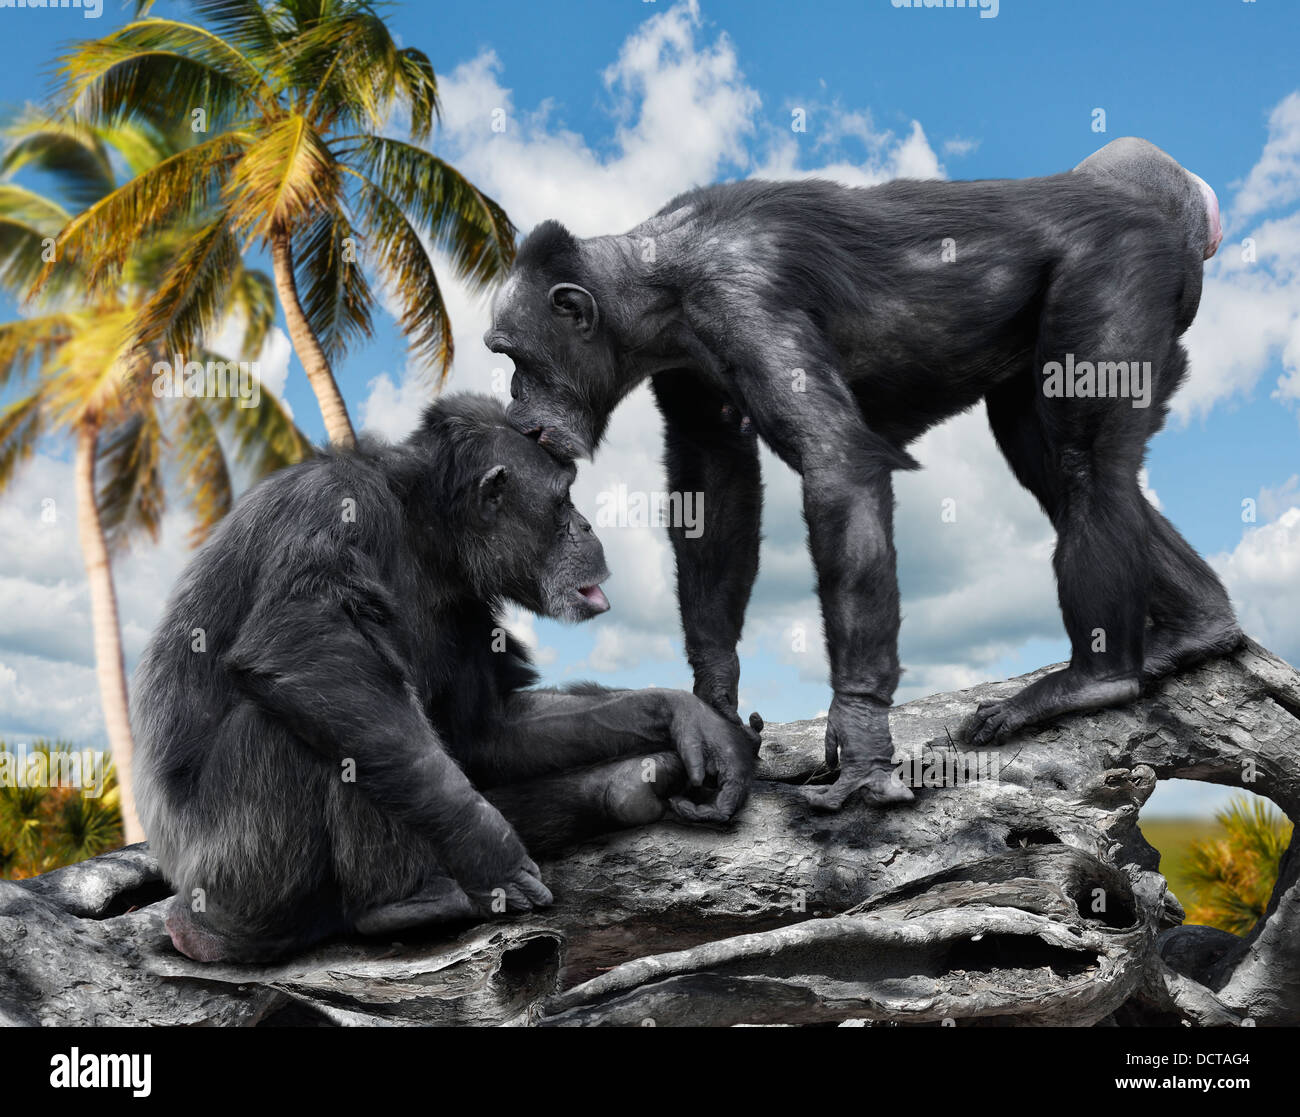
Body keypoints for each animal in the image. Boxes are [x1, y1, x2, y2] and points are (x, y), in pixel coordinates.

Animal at [131, 393, 756, 963]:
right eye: (563, 499)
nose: (584, 524)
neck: (422, 530)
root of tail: (183, 917)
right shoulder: (329, 507)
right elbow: (305, 645)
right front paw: (487, 847)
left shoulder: (471, 607)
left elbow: (489, 728)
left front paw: (686, 715)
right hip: (235, 872)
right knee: (317, 708)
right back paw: (405, 903)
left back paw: (630, 784)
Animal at [483, 137, 1242, 812]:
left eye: (513, 355)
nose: (516, 405)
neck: (660, 279)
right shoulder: (687, 374)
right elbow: (714, 486)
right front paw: (714, 706)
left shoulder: (745, 304)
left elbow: (837, 463)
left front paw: (860, 738)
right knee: (1055, 471)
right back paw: (1197, 629)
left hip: (1117, 274)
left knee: (1085, 464)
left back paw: (1095, 680)